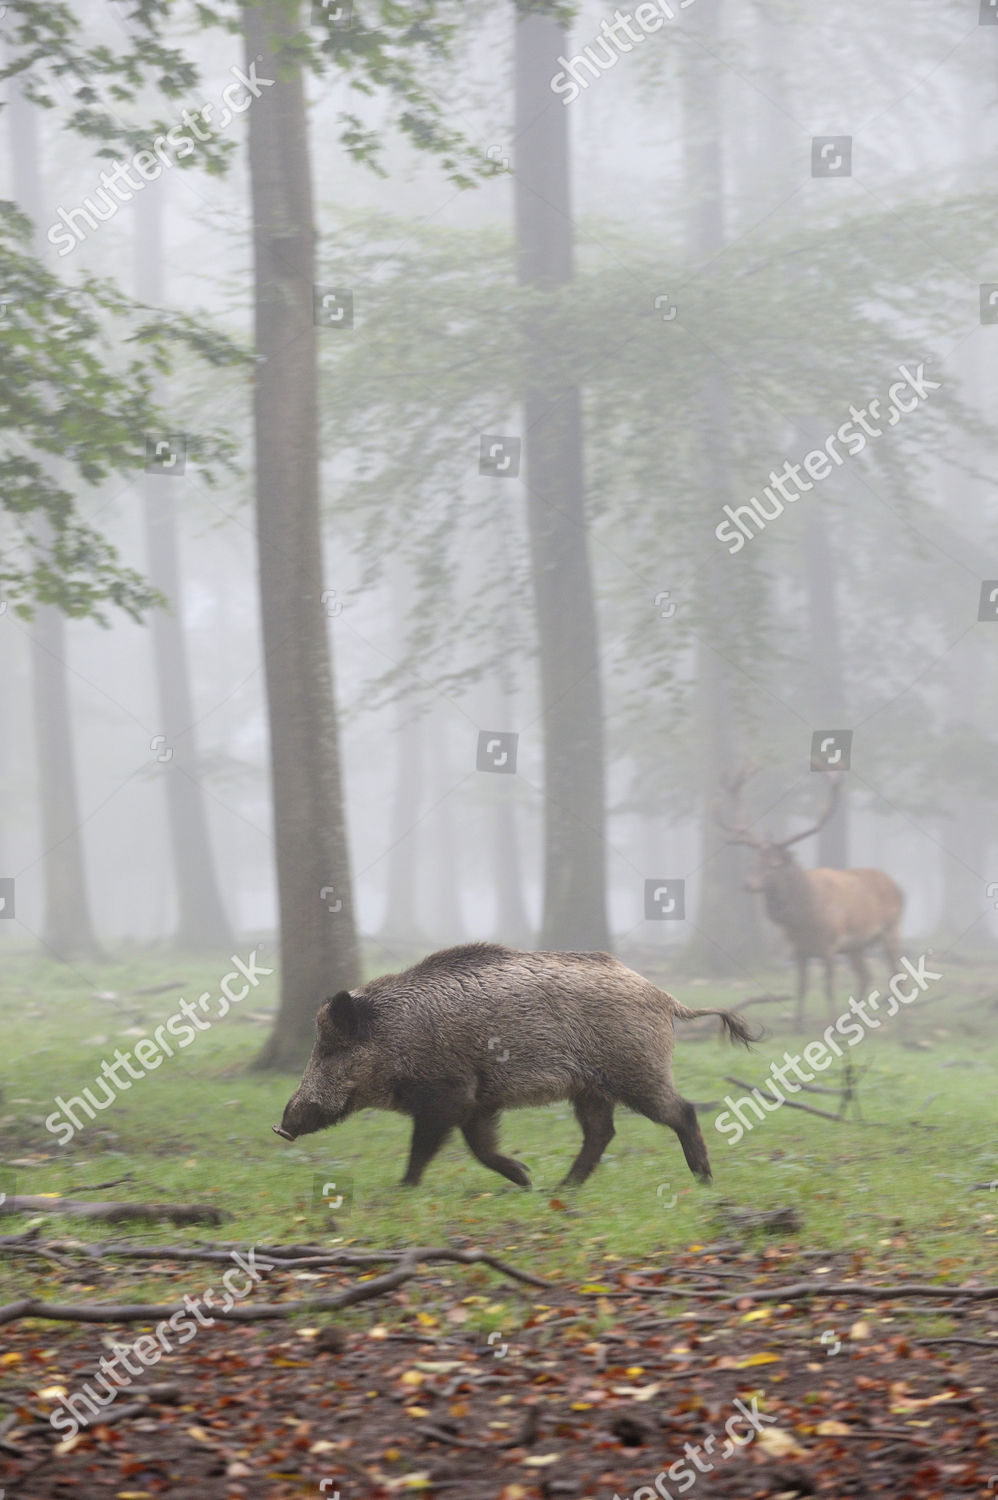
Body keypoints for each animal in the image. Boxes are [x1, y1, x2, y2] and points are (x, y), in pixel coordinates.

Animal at [273, 943, 758, 1188]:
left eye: (330, 1050)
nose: (281, 1126)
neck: (394, 1037)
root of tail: (665, 997)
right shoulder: (477, 1100)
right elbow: (481, 1145)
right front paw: (524, 1179)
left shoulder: (448, 1093)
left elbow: (431, 1145)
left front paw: (402, 1188)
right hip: (592, 1089)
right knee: (602, 1132)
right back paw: (563, 1187)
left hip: (636, 1071)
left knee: (681, 1111)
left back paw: (703, 1180)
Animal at [716, 768, 905, 1029]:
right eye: (754, 861)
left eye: (774, 864)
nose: (748, 883)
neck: (804, 918)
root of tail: (897, 886)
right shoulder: (798, 949)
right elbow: (801, 986)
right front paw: (797, 1026)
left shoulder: (830, 945)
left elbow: (828, 986)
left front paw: (831, 1024)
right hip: (856, 946)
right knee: (866, 976)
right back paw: (855, 1020)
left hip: (890, 929)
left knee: (898, 974)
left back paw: (903, 1027)